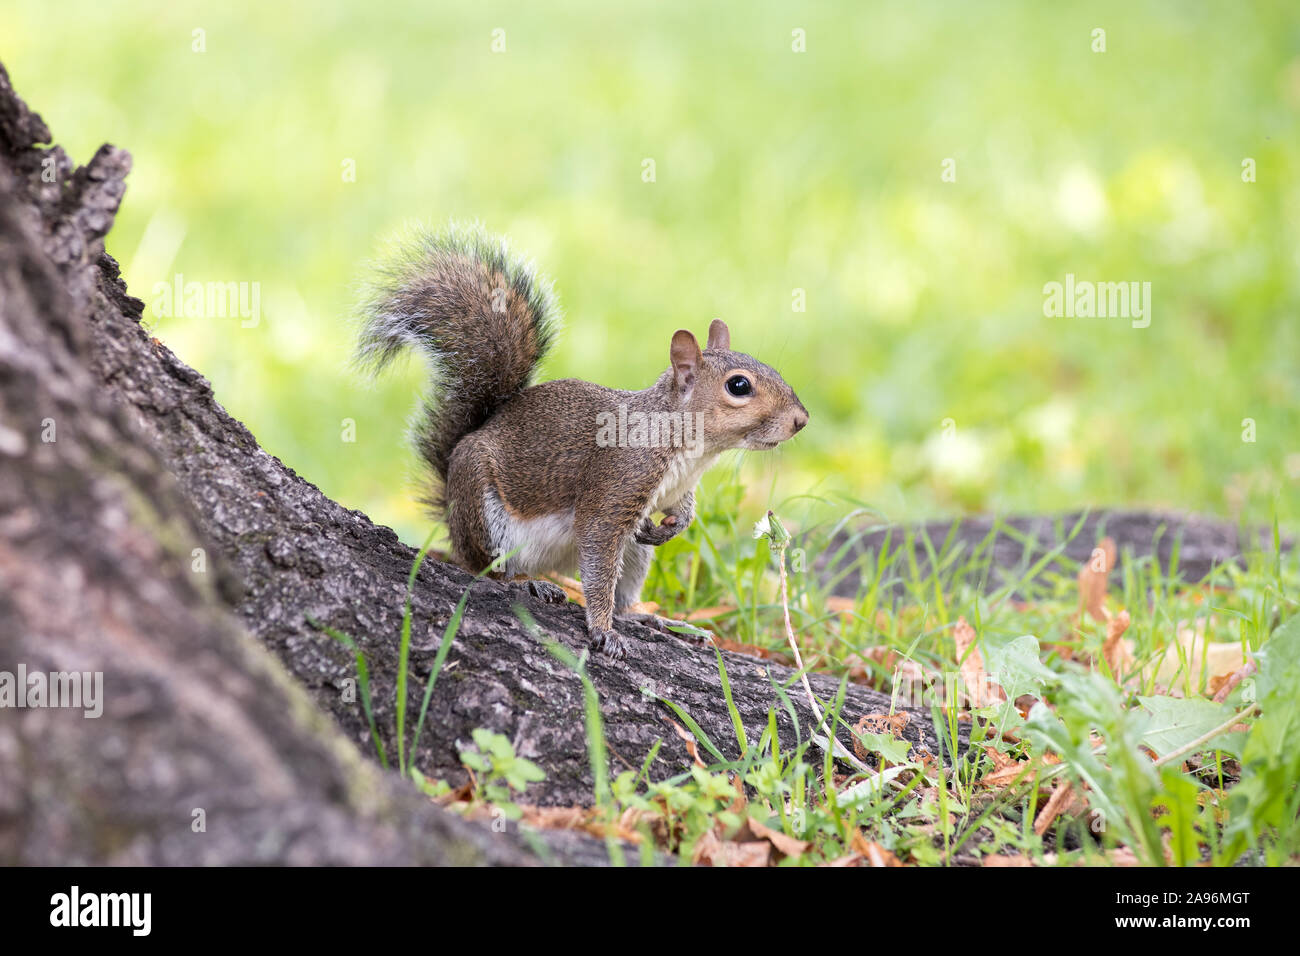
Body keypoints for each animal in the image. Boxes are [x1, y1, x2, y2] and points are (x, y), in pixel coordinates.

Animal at [356, 223, 808, 660]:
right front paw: (602, 630)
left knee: (624, 588)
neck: (691, 449)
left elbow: (681, 514)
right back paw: (527, 583)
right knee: (485, 568)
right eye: (738, 386)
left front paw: (673, 527)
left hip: (633, 555)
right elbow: (597, 555)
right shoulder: (617, 487)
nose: (801, 420)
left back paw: (651, 617)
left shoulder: (674, 490)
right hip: (484, 509)